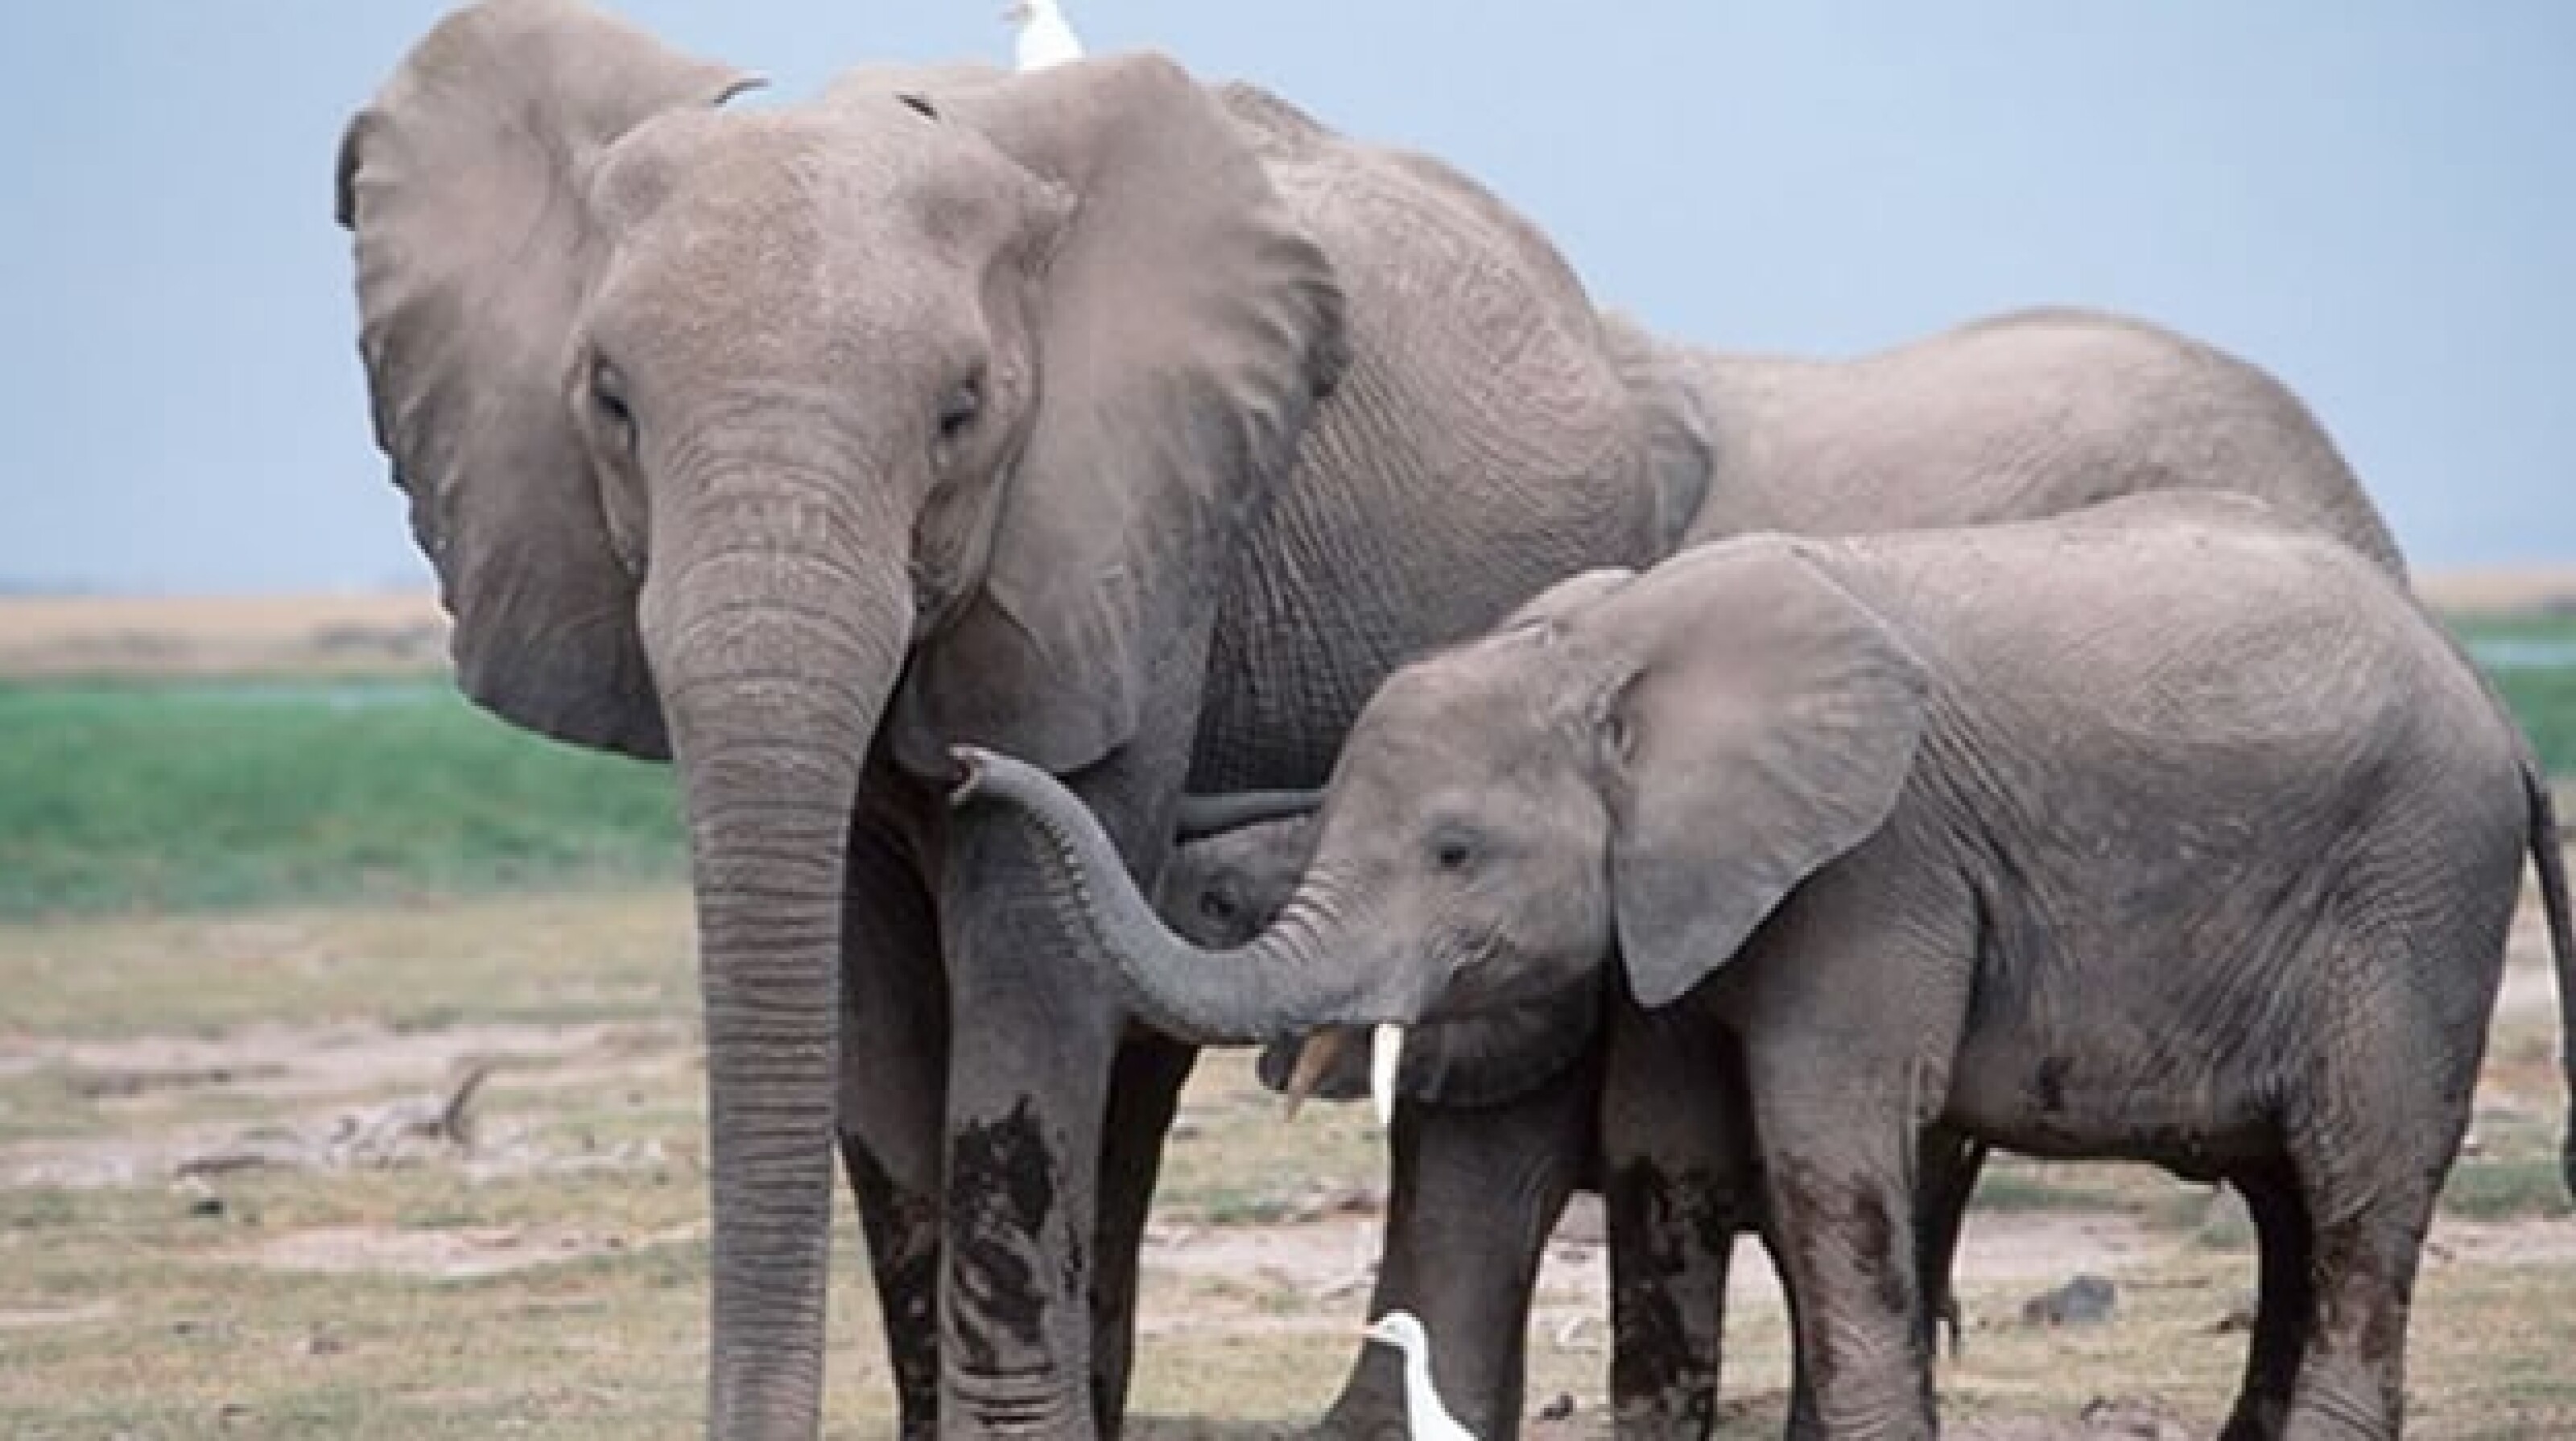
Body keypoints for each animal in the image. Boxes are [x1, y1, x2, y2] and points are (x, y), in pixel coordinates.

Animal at [336, 3, 1719, 1434]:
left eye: (961, 410)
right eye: (609, 398)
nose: (973, 766)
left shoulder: (1135, 545)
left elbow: (1030, 959)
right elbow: (872, 992)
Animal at [952, 490, 2576, 1441]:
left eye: (1457, 852)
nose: (967, 765)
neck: (1606, 648)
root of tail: (2498, 716)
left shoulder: (1875, 863)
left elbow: (1825, 1139)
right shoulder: (1702, 892)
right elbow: (1684, 1154)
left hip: (2413, 892)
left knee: (2358, 1181)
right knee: (2295, 1199)